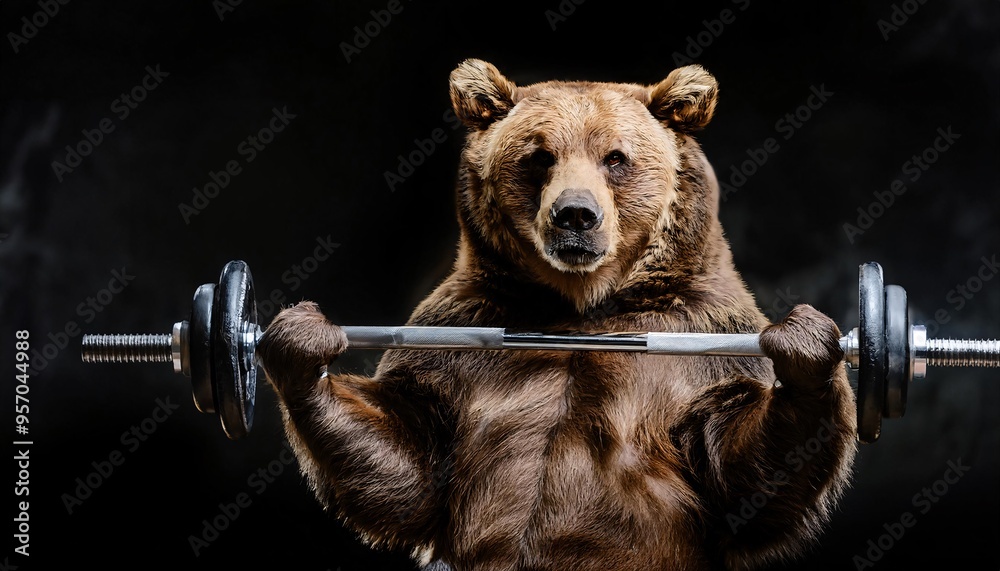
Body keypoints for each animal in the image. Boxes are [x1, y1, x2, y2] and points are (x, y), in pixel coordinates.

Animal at [256, 59, 857, 571]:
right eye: (539, 156)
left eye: (615, 157)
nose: (575, 215)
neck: (579, 308)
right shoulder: (459, 333)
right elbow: (409, 463)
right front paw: (301, 340)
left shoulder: (697, 340)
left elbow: (739, 472)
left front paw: (806, 346)